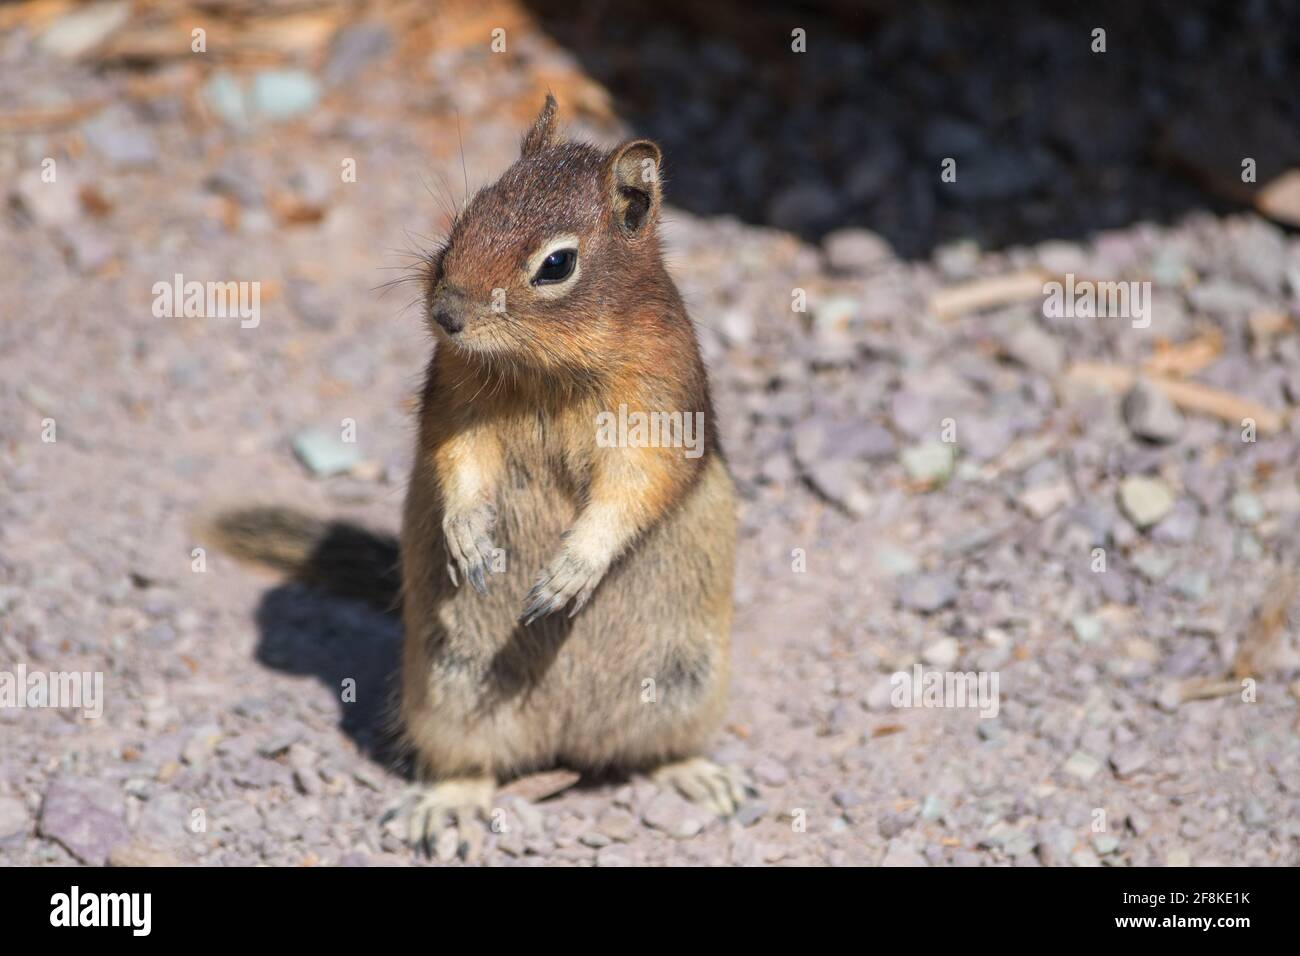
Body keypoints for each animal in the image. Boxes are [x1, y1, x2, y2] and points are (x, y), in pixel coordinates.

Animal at [210, 96, 750, 853]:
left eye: (556, 264)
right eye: (470, 212)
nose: (446, 313)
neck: (547, 367)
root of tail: (564, 741)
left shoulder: (661, 406)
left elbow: (635, 488)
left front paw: (568, 572)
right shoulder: (457, 400)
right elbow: (457, 460)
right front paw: (470, 539)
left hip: (686, 684)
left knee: (655, 750)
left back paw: (698, 774)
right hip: (448, 686)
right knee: (468, 764)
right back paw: (449, 806)